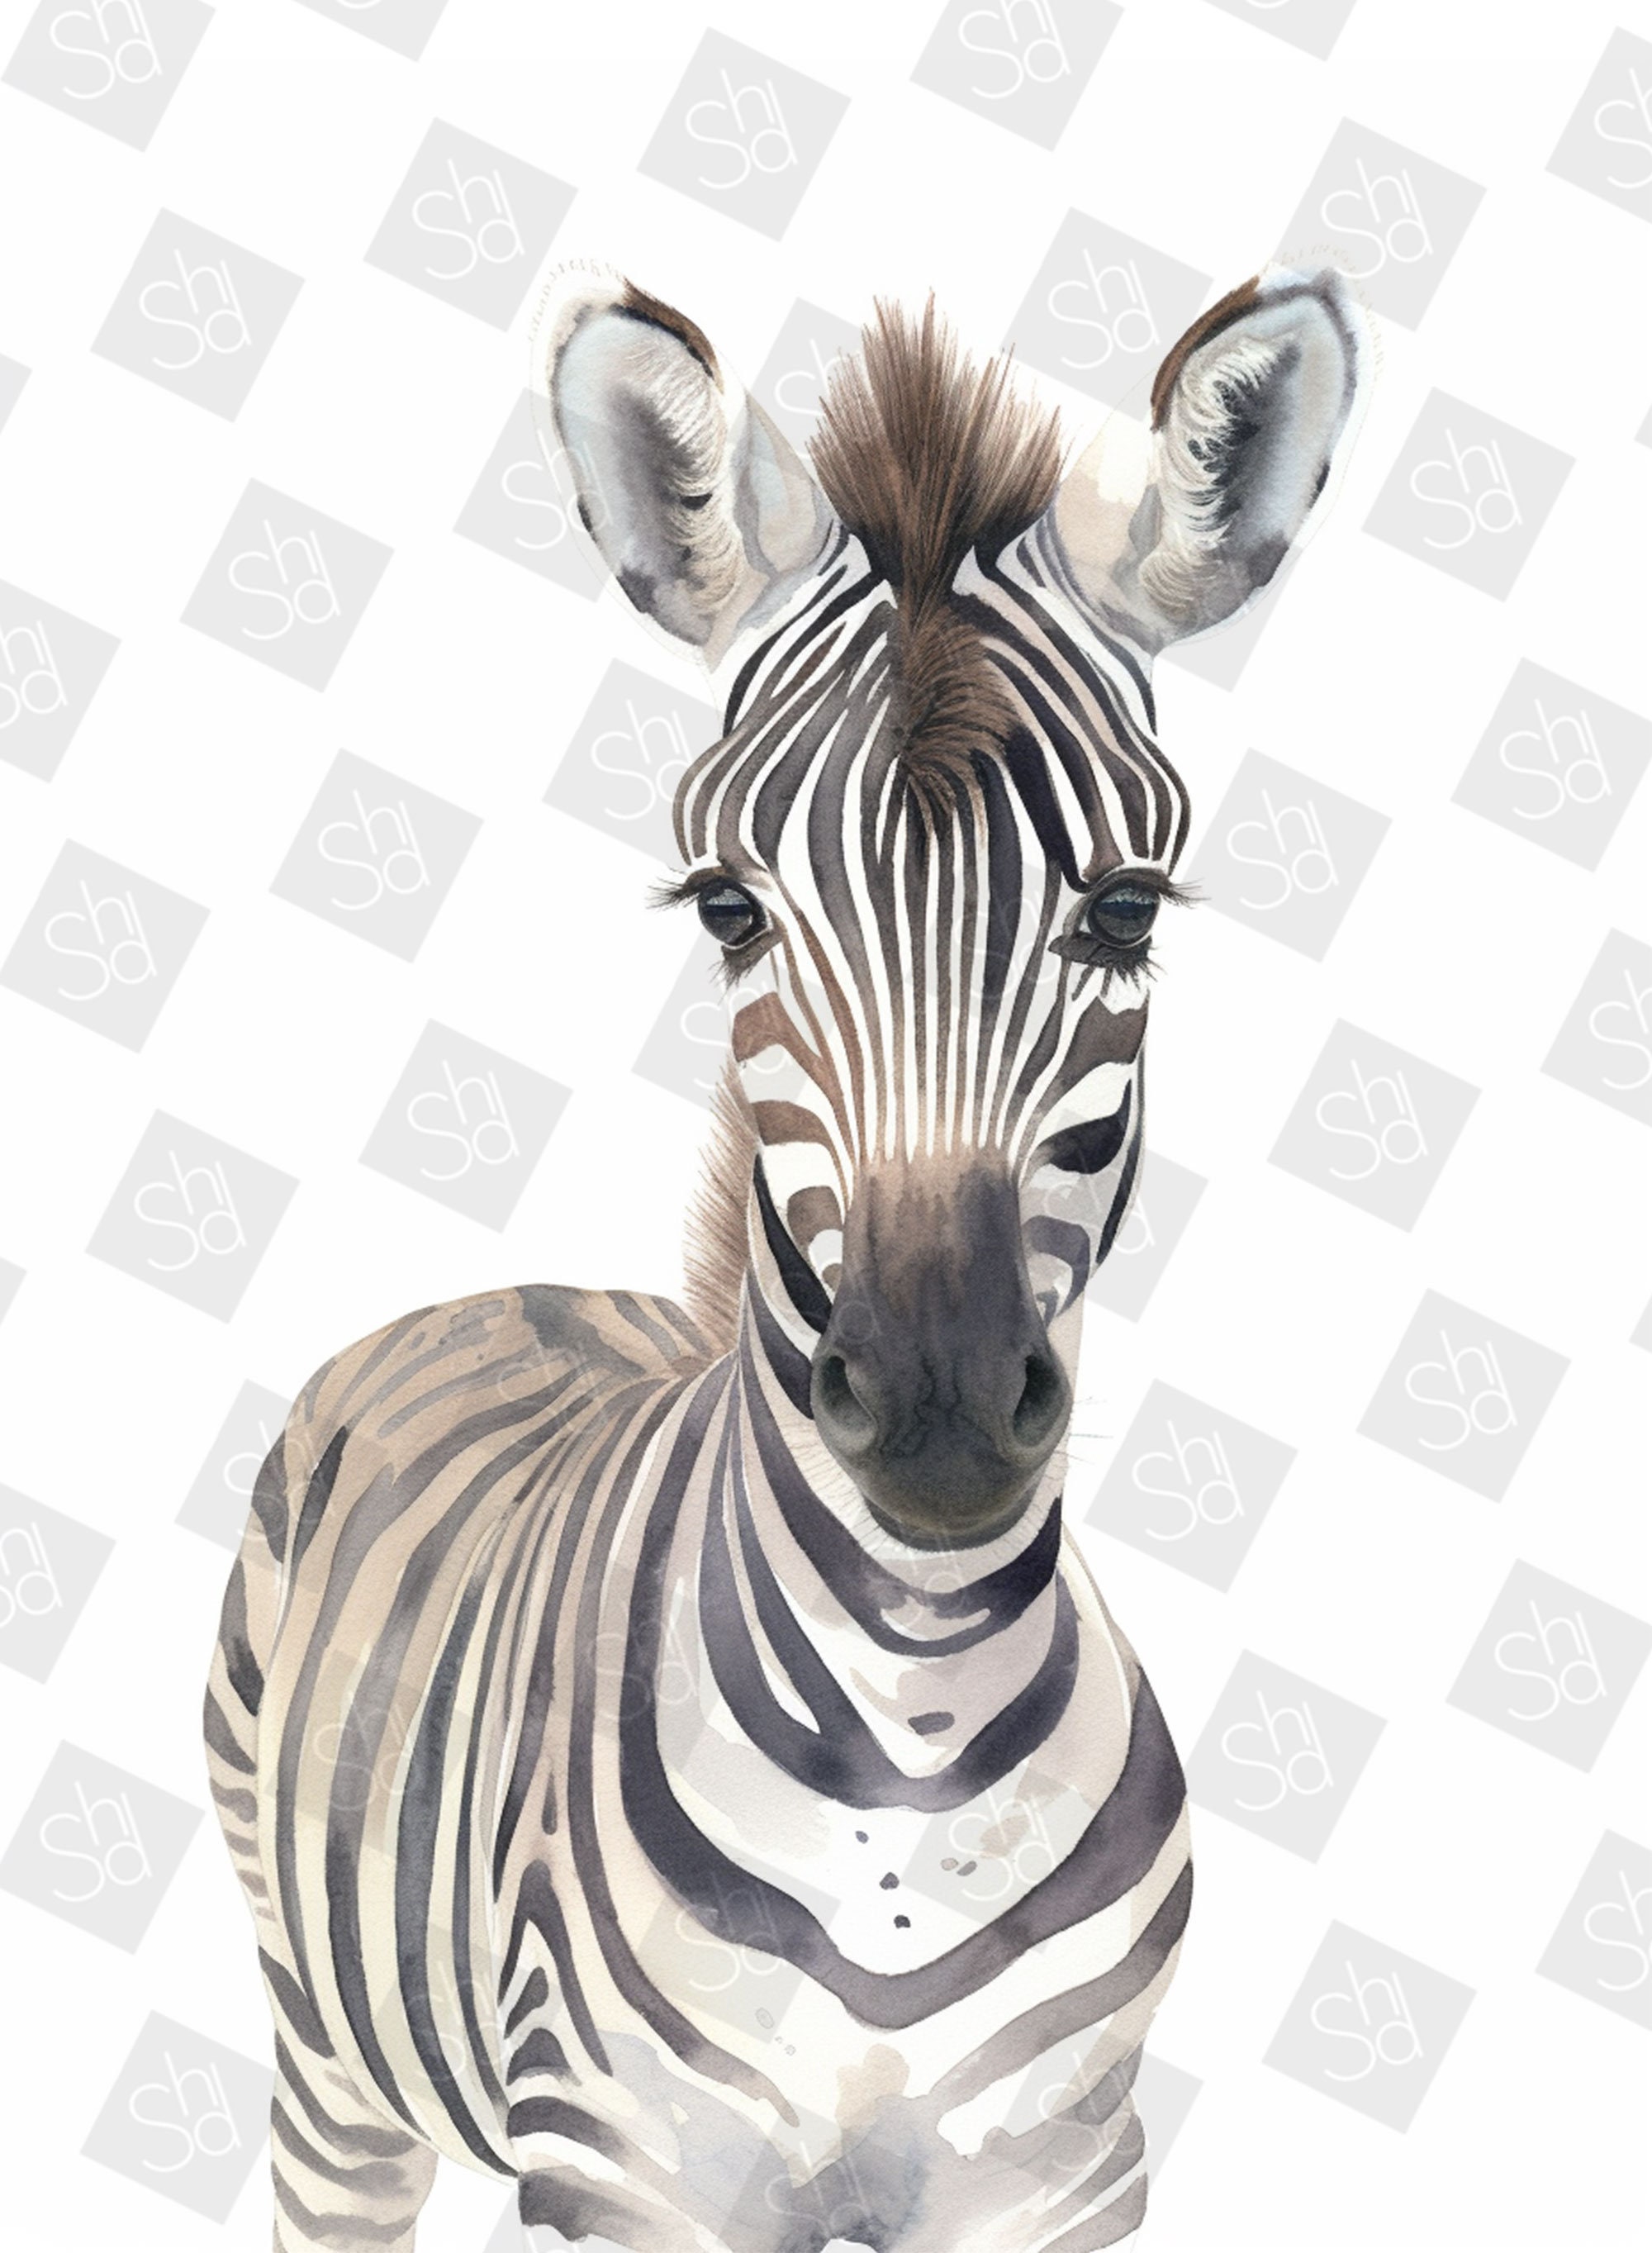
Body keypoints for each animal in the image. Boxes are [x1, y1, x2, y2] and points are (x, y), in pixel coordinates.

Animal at [206, 261, 1365, 2253]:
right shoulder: (622, 2166)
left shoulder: (1062, 2167)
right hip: (327, 2057)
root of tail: (504, 1290)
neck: (907, 1731)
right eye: (732, 909)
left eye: (1127, 908)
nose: (939, 1408)